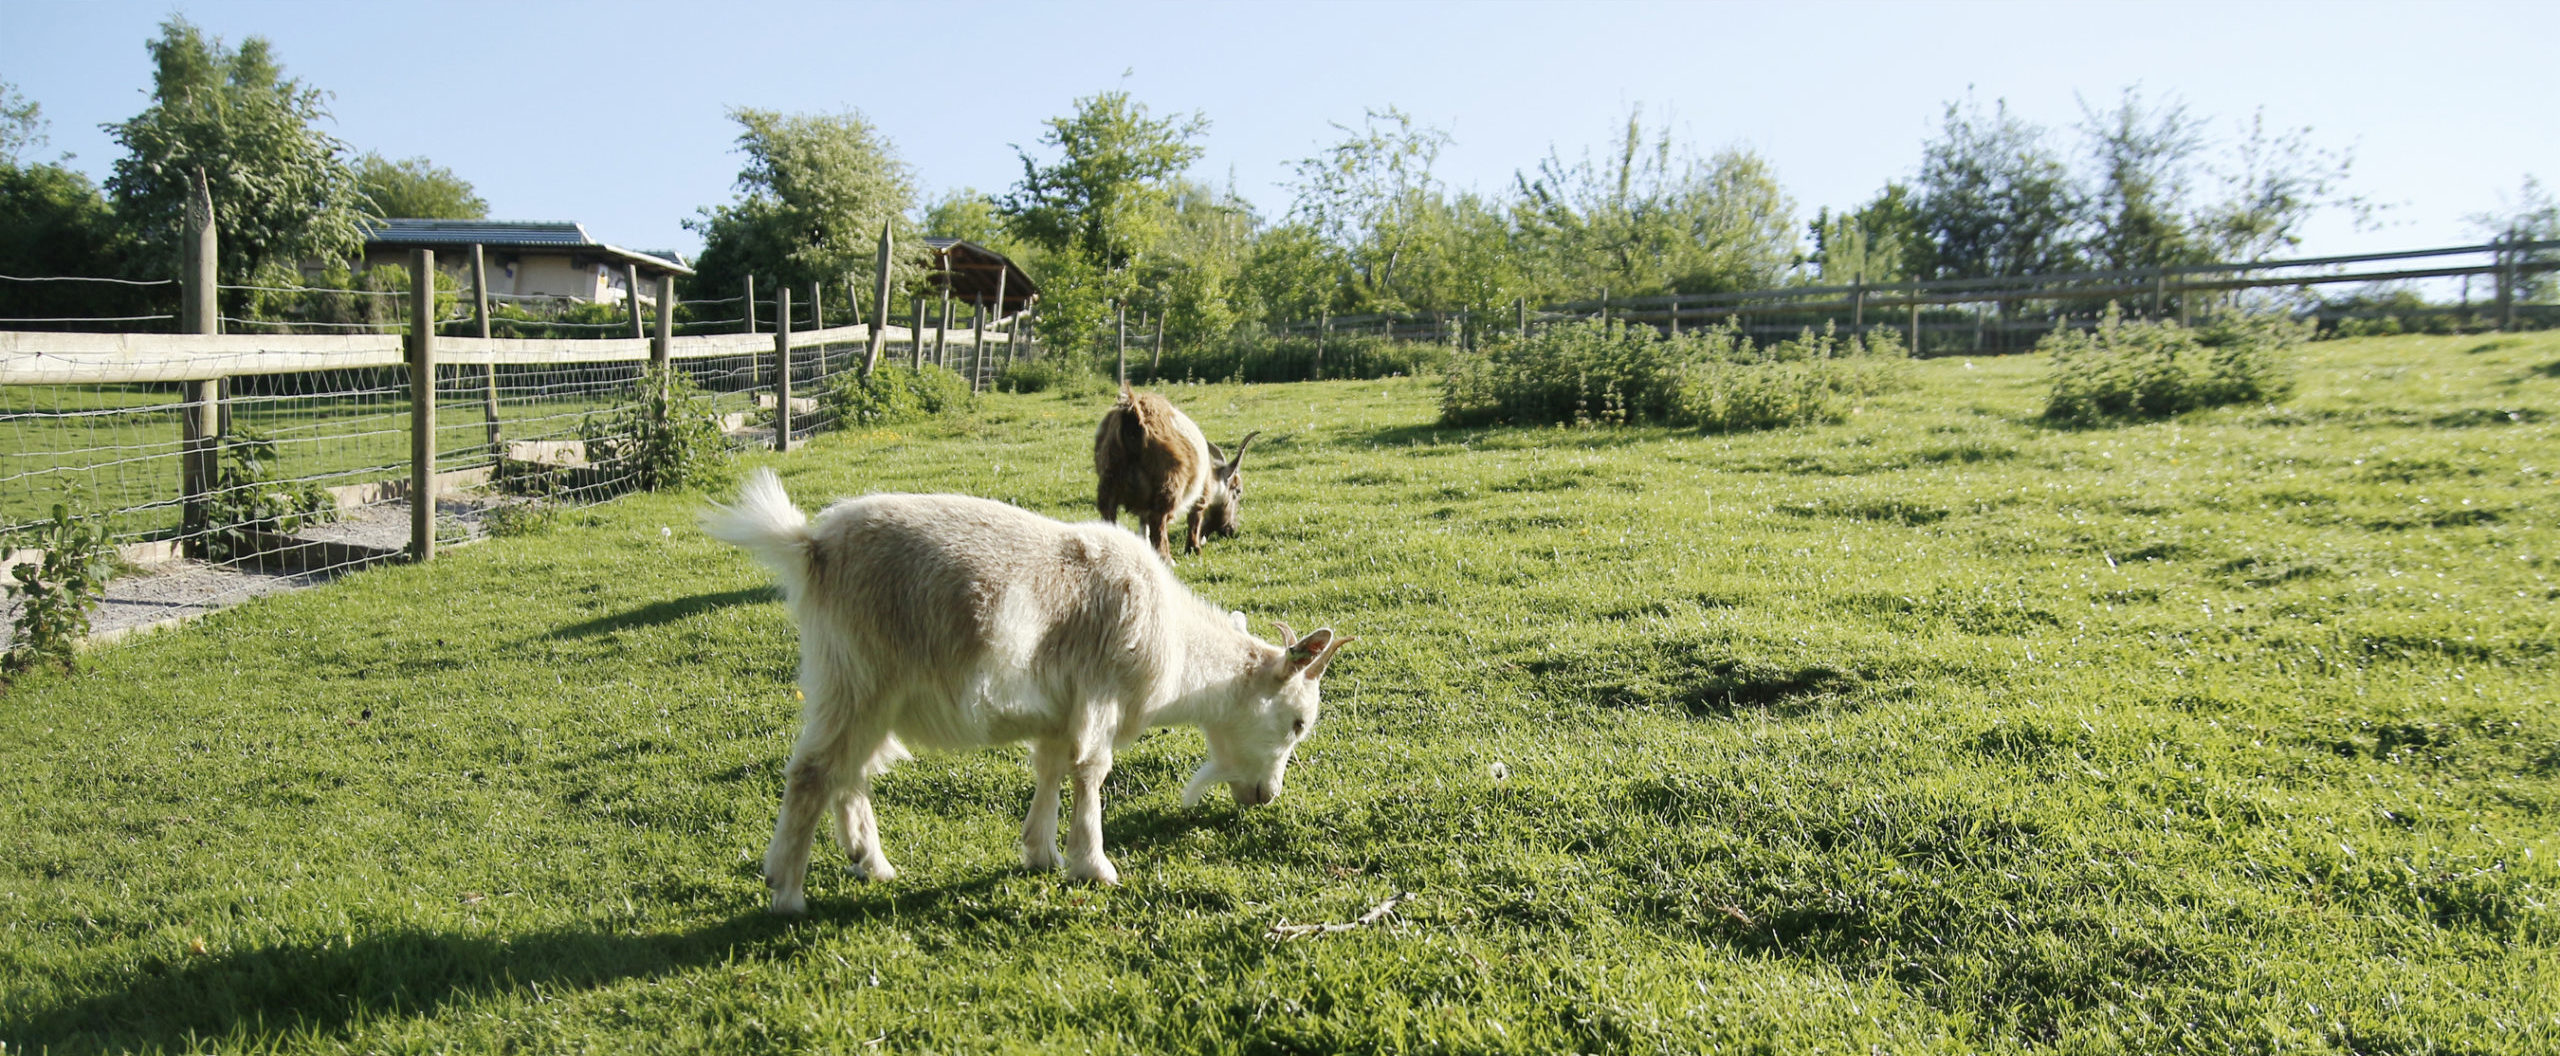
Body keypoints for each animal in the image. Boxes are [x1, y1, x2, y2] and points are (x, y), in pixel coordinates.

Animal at [701, 468, 1354, 913]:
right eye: (1298, 723)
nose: (1266, 796)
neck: (1174, 640)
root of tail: (812, 547)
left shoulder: (1062, 711)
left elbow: (1051, 768)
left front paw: (1041, 852)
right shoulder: (1101, 692)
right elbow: (1091, 770)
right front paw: (1094, 865)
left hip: (860, 688)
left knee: (849, 771)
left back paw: (871, 864)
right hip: (860, 676)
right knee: (814, 771)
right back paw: (787, 890)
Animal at [1094, 387, 1260, 560]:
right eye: (1238, 491)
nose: (1231, 530)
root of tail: (1134, 418)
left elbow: (1143, 526)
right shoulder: (1202, 494)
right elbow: (1194, 518)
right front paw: (1194, 549)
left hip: (1109, 477)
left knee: (1109, 513)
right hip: (1169, 483)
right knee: (1158, 519)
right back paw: (1167, 558)